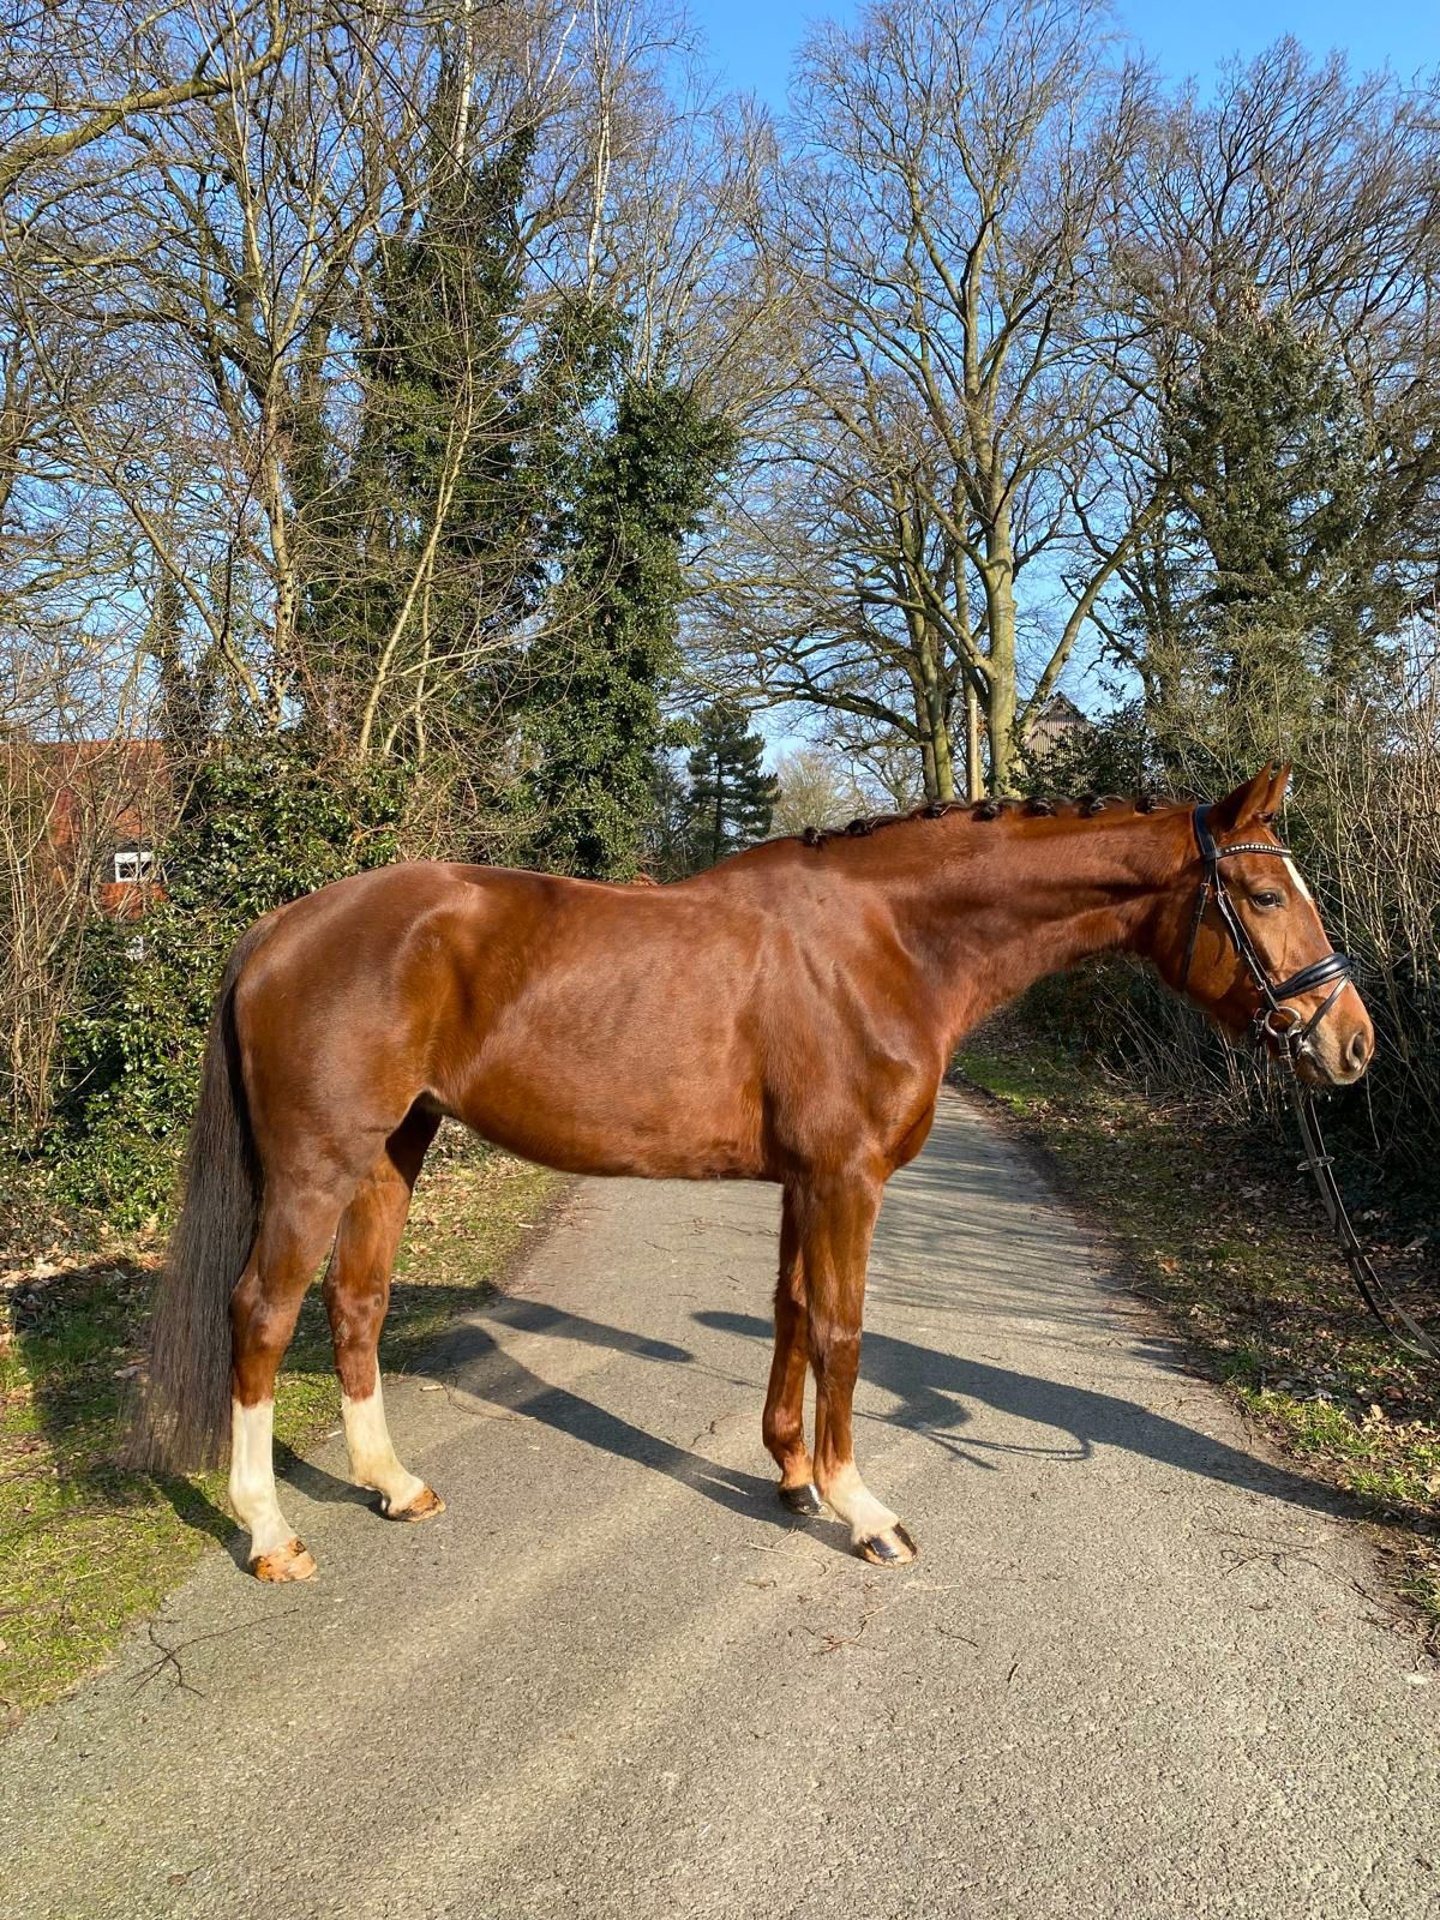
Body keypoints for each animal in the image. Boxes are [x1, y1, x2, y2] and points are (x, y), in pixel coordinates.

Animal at [128, 764, 1373, 1580]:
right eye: (1265, 896)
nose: (1351, 1044)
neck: (887, 942)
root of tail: (282, 927)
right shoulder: (846, 1181)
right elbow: (843, 1331)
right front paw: (859, 1506)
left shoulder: (803, 1181)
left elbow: (789, 1312)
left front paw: (788, 1473)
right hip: (318, 1166)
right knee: (262, 1313)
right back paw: (271, 1533)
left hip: (395, 1151)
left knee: (357, 1303)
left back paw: (393, 1485)